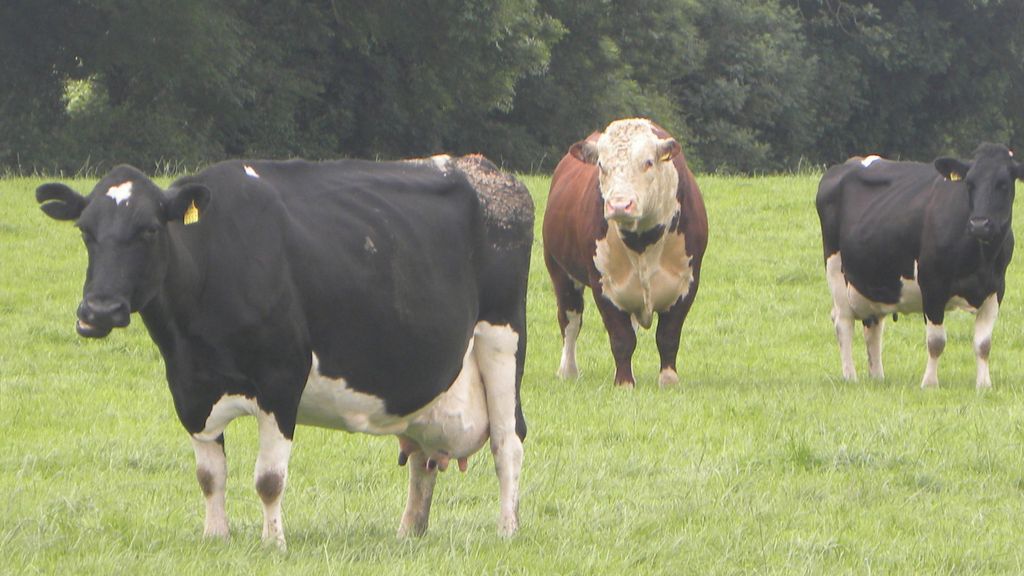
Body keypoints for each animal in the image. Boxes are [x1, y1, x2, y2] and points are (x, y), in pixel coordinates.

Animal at [35, 154, 533, 548]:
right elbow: (209, 475)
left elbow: (269, 480)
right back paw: (410, 531)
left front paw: (273, 543)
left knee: (508, 442)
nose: (99, 309)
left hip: (501, 337)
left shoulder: (281, 378)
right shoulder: (189, 387)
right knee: (423, 455)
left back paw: (508, 530)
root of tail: (485, 168)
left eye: (149, 230)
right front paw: (215, 536)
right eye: (85, 231)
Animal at [542, 118, 709, 388]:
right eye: (601, 165)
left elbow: (668, 336)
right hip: (560, 271)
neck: (642, 242)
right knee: (570, 320)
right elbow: (621, 338)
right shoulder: (603, 285)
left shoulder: (687, 282)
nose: (620, 204)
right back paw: (568, 370)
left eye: (648, 162)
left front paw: (669, 380)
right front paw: (623, 383)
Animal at [816, 143, 1021, 389]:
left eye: (1003, 184)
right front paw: (930, 384)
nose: (979, 224)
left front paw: (984, 385)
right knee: (843, 322)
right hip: (836, 270)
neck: (981, 257)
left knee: (872, 326)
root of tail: (849, 163)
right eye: (969, 184)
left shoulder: (996, 288)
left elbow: (983, 344)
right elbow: (936, 341)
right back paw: (850, 376)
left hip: (874, 280)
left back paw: (877, 377)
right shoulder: (932, 285)